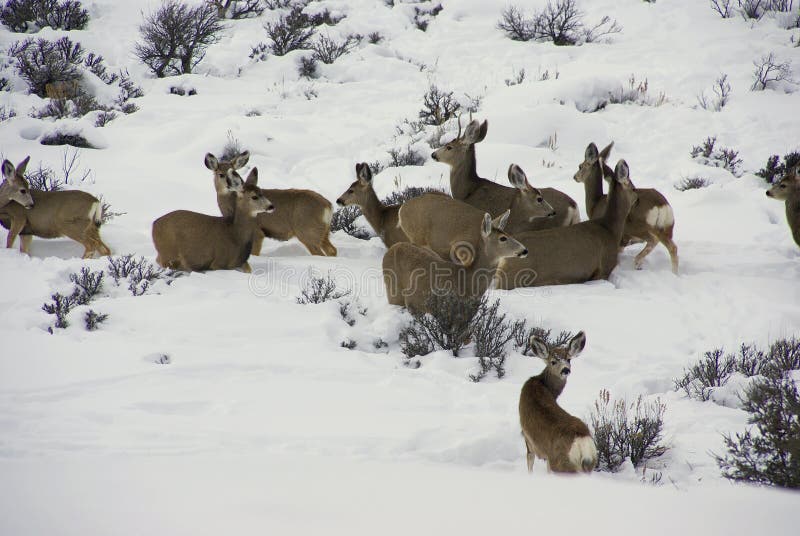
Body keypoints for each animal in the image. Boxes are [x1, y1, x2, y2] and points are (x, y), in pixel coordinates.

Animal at [204, 151, 336, 257]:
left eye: (234, 172)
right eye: (220, 174)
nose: (230, 185)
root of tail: (328, 206)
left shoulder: (258, 232)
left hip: (307, 231)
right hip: (323, 232)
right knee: (332, 250)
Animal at [519, 331, 597, 473]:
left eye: (568, 359)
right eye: (553, 361)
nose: (565, 369)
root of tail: (583, 445)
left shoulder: (528, 438)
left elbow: (530, 462)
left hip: (561, 464)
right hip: (589, 465)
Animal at [574, 142, 679, 274]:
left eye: (580, 166)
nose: (575, 177)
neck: (595, 204)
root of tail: (661, 205)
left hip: (639, 226)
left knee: (660, 242)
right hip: (668, 226)